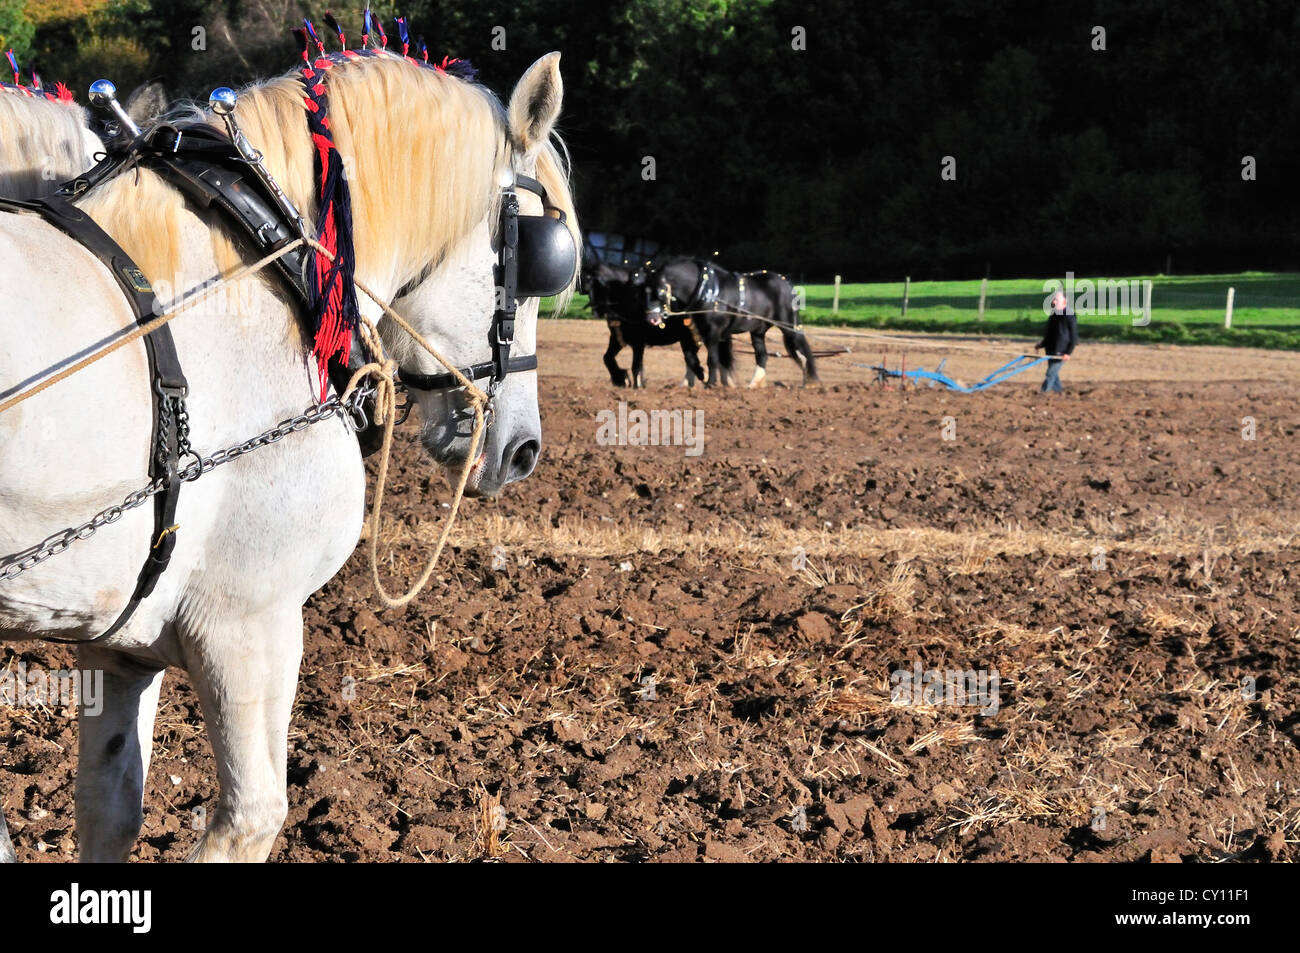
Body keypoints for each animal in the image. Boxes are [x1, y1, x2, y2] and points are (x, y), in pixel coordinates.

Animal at [0, 50, 577, 862]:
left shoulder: (122, 646)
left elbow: (108, 808)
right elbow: (252, 818)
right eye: (538, 263)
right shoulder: (249, 622)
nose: (523, 448)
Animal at [644, 257, 820, 387]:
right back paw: (754, 384)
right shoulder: (702, 332)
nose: (651, 317)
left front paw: (711, 383)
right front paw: (712, 380)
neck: (708, 291)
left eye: (659, 290)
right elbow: (699, 357)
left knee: (801, 350)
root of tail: (785, 282)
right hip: (758, 330)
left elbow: (713, 358)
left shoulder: (713, 331)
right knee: (762, 355)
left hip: (788, 324)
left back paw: (809, 382)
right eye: (645, 290)